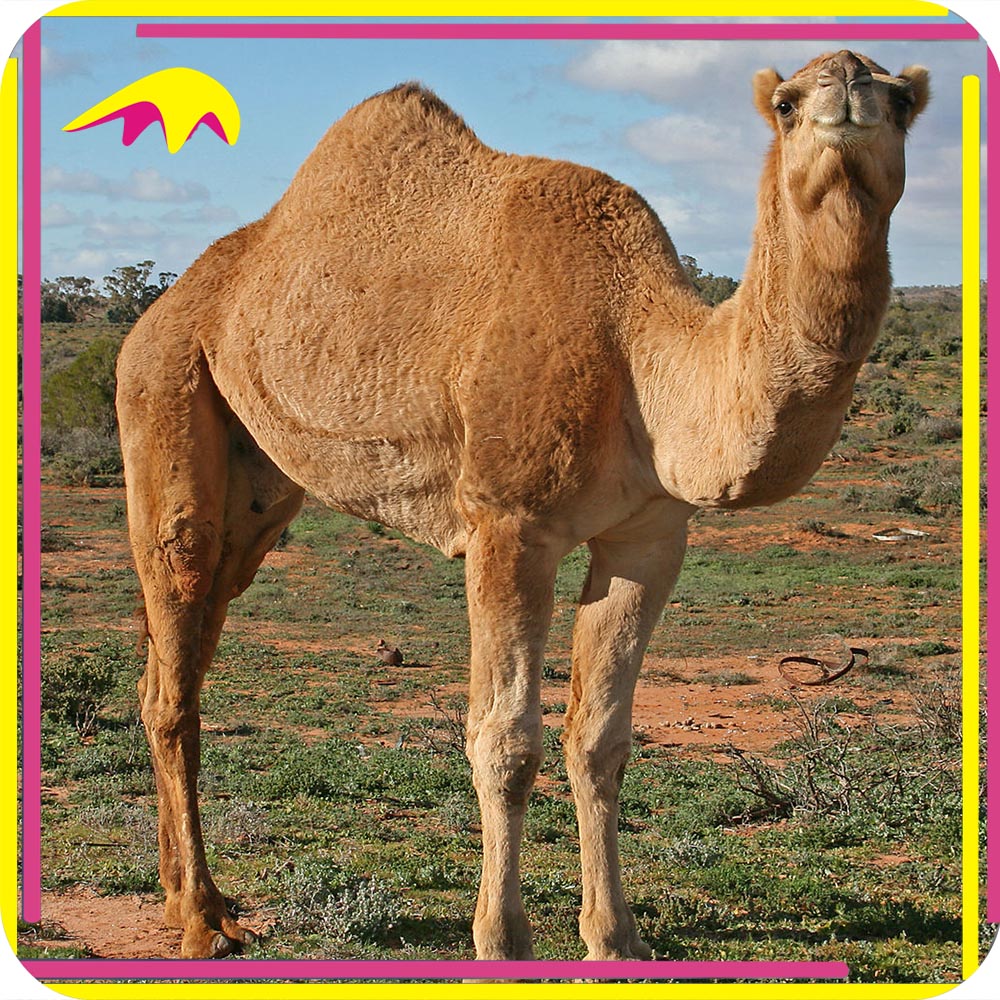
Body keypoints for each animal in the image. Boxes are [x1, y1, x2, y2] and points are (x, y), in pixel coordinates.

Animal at [115, 50, 929, 961]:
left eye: (902, 99)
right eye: (785, 102)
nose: (847, 89)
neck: (638, 352)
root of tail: (161, 308)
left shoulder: (649, 536)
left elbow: (600, 737)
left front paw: (616, 939)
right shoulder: (508, 525)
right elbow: (504, 739)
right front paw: (501, 938)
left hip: (255, 480)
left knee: (178, 649)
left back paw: (177, 890)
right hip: (164, 388)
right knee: (175, 657)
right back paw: (203, 917)